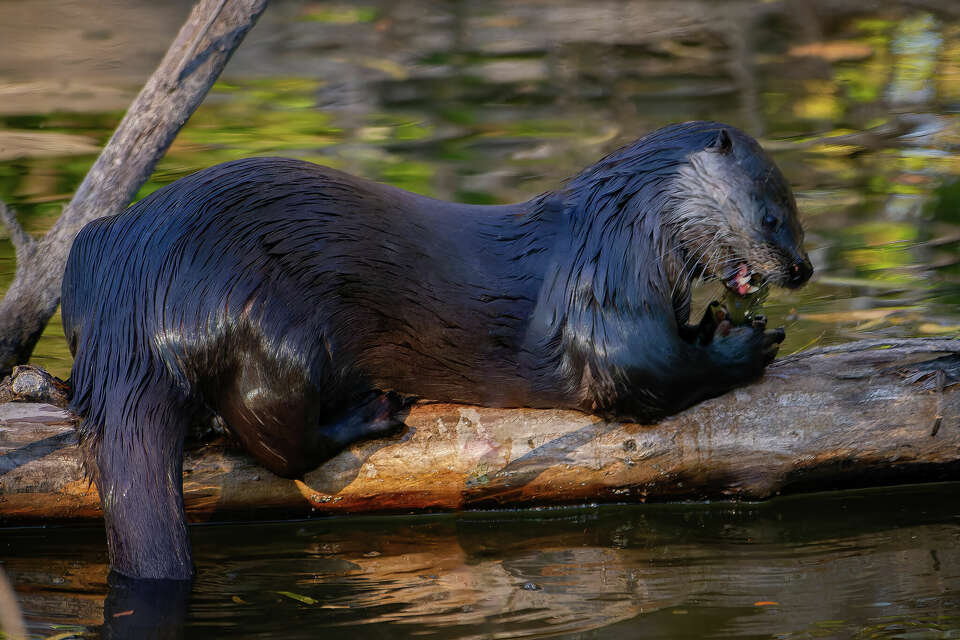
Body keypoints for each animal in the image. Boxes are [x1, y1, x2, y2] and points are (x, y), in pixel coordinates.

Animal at [61, 121, 812, 580]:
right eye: (776, 214)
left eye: (795, 215)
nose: (803, 269)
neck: (626, 229)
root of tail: (132, 303)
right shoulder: (605, 302)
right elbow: (641, 374)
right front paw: (748, 342)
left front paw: (717, 321)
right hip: (268, 329)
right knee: (280, 442)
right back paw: (373, 413)